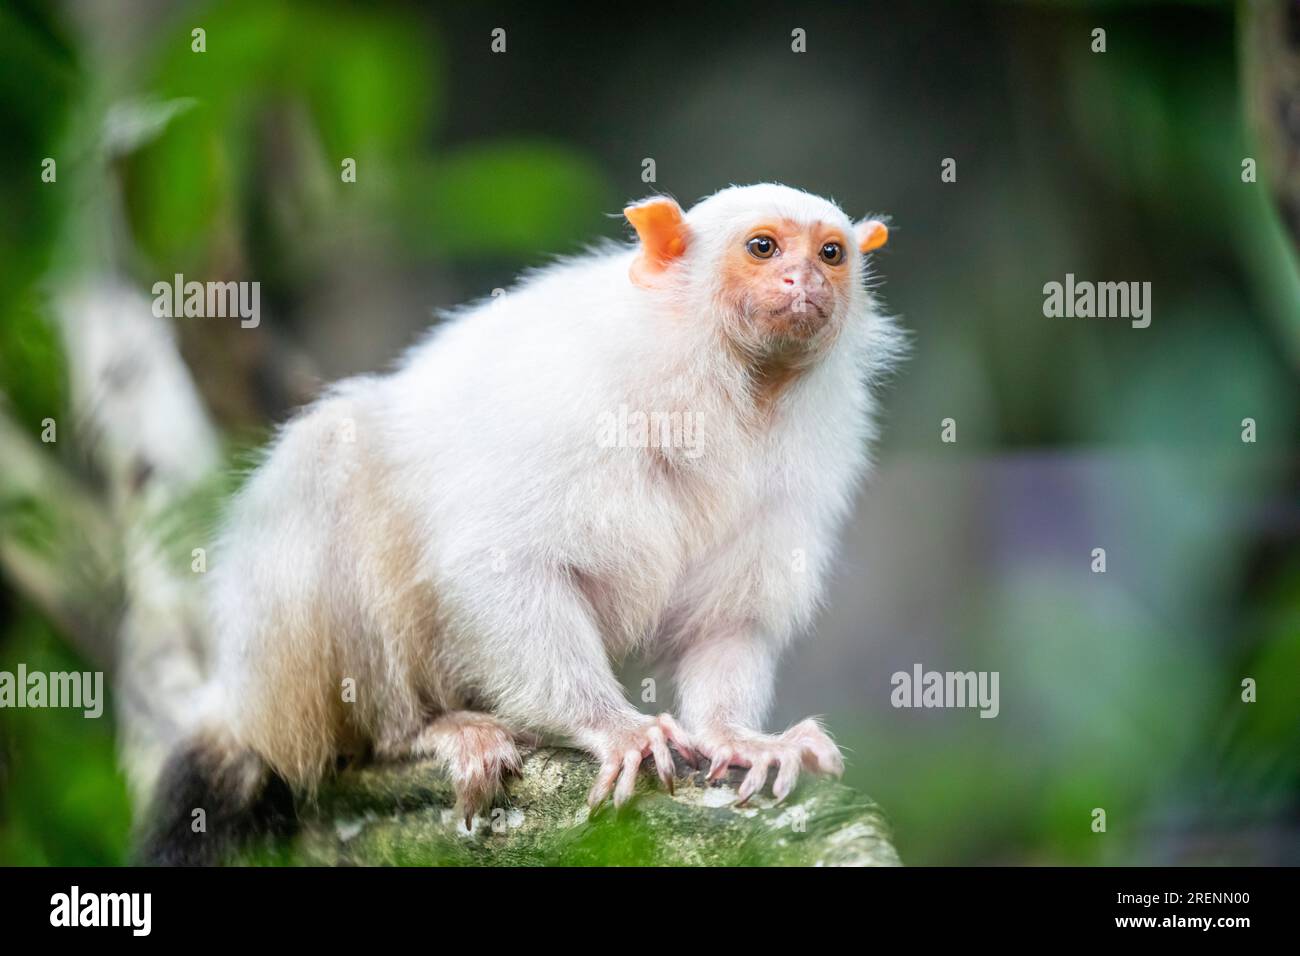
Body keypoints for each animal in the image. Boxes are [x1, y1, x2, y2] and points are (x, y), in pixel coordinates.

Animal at [139, 183, 900, 864]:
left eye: (831, 253)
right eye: (763, 247)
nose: (806, 278)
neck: (732, 392)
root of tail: (239, 701)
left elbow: (729, 623)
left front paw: (738, 737)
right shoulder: (582, 405)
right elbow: (500, 563)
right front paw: (614, 728)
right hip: (284, 687)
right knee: (334, 451)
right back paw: (424, 732)